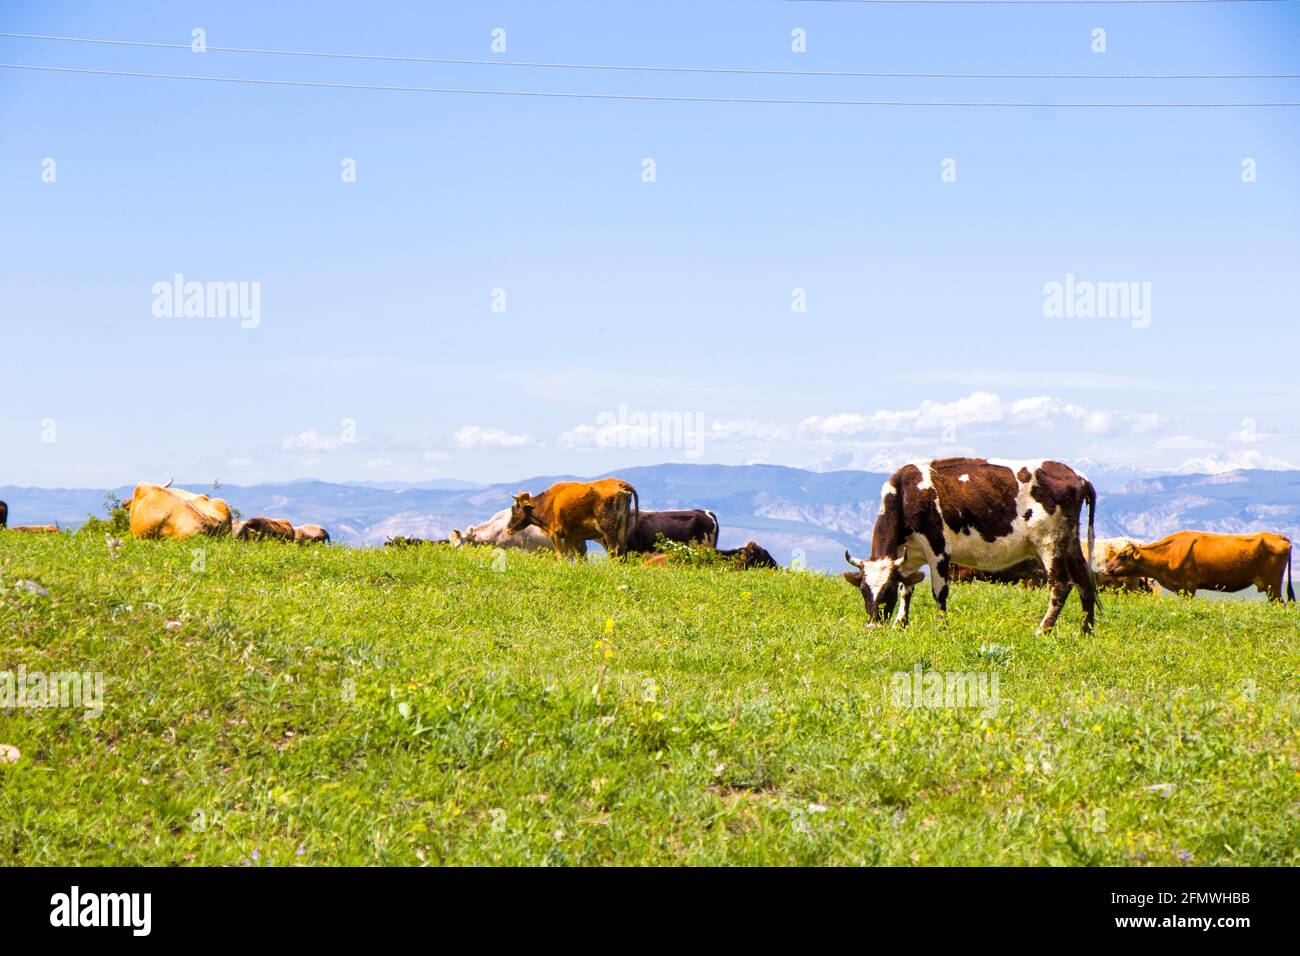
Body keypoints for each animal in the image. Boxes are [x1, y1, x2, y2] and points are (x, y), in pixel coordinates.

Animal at [507, 479, 639, 558]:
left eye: (515, 507)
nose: (508, 528)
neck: (548, 502)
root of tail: (619, 483)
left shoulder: (555, 534)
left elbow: (560, 556)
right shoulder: (571, 536)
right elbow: (571, 556)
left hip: (608, 529)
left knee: (614, 550)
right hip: (622, 526)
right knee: (622, 549)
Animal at [844, 458, 1097, 635]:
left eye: (886, 591)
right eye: (863, 590)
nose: (872, 627)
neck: (905, 495)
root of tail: (1077, 476)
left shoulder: (937, 549)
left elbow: (938, 592)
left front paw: (942, 627)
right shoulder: (908, 556)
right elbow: (907, 588)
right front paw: (901, 623)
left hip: (1049, 542)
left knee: (1061, 585)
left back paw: (1043, 630)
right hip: (1070, 542)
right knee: (1085, 583)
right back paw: (1086, 632)